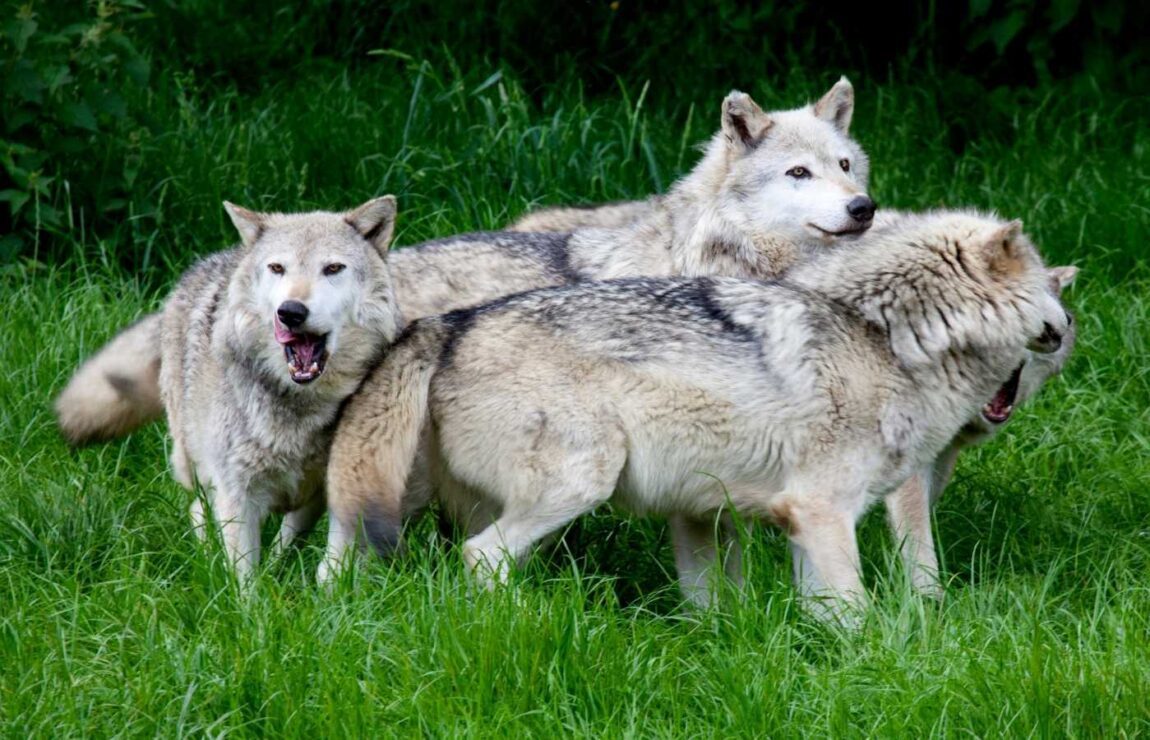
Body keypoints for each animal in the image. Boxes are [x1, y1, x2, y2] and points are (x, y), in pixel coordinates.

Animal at [160, 197, 401, 580]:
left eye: (333, 268)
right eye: (277, 268)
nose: (290, 311)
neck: (297, 405)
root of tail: (214, 258)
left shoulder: (336, 486)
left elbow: (330, 563)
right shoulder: (237, 493)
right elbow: (243, 578)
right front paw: (247, 597)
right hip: (193, 464)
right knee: (198, 508)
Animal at [319, 211, 1071, 617]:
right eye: (1047, 288)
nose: (1066, 326)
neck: (883, 336)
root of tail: (450, 325)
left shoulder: (786, 522)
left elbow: (813, 613)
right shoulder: (823, 511)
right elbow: (861, 614)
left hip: (388, 502)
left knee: (345, 563)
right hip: (575, 485)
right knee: (481, 559)